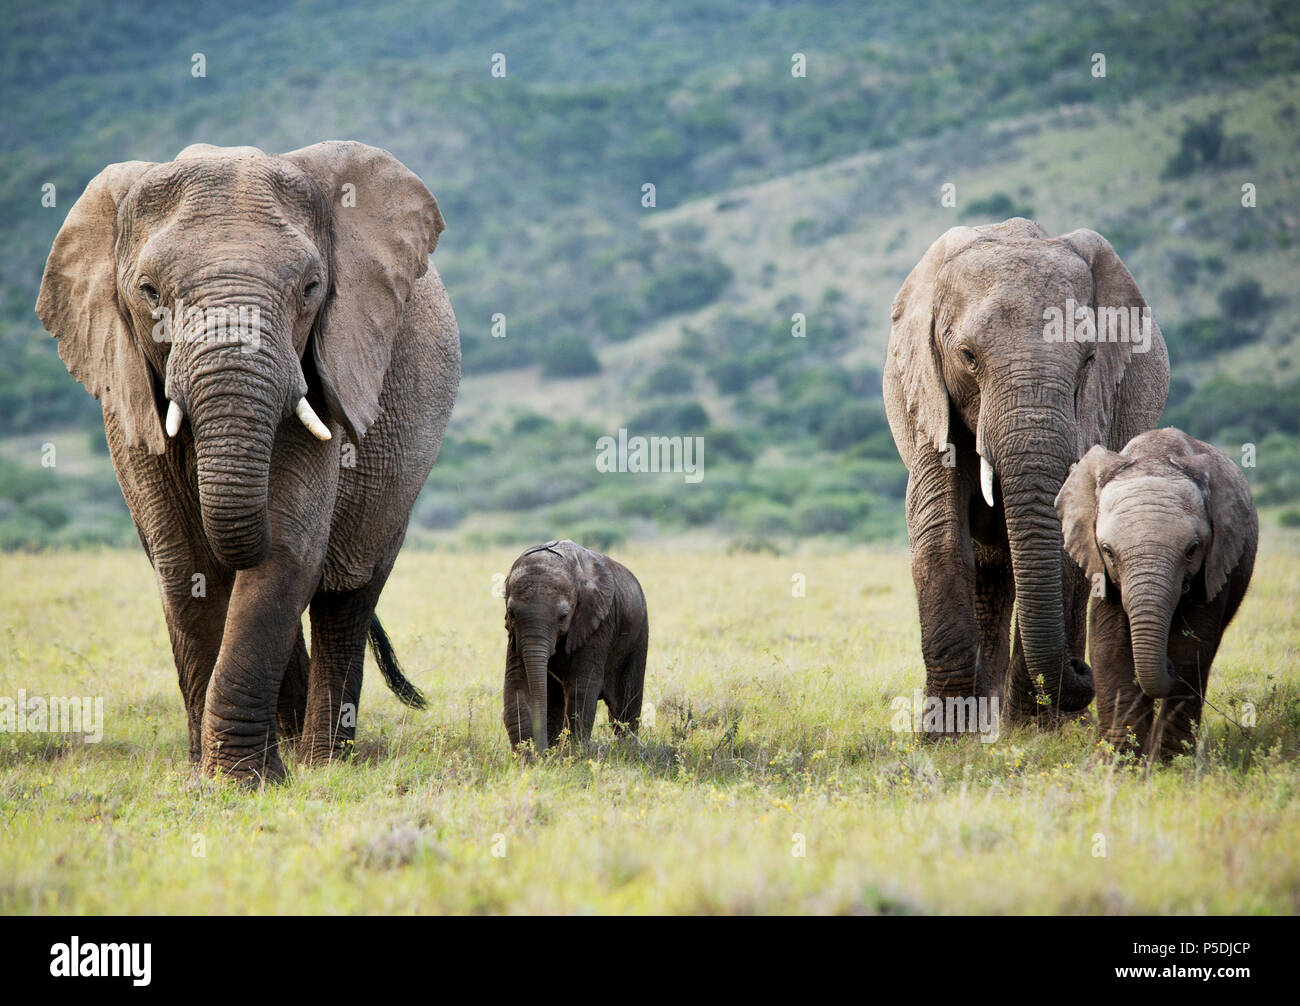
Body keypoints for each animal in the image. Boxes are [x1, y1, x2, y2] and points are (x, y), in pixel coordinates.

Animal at [35, 141, 460, 782]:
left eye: (311, 288)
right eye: (149, 292)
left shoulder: (327, 367)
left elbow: (286, 549)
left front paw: (242, 780)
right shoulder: (125, 390)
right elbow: (185, 563)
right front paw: (206, 777)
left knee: (346, 596)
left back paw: (321, 762)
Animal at [502, 540, 648, 755]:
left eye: (564, 616)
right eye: (511, 613)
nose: (543, 753)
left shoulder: (598, 622)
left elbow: (581, 684)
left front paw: (571, 756)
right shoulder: (514, 635)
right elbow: (517, 682)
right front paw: (530, 758)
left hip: (638, 634)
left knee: (625, 705)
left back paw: (629, 749)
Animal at [883, 218, 1169, 729]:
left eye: (1089, 359)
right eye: (967, 356)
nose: (1082, 670)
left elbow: (1071, 543)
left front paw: (1034, 732)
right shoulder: (928, 397)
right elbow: (940, 535)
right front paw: (944, 737)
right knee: (989, 570)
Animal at [1056, 427, 1257, 758]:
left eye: (1192, 550)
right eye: (1108, 551)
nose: (1166, 664)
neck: (1155, 458)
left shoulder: (1215, 565)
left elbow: (1192, 647)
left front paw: (1169, 762)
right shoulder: (1101, 571)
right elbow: (1110, 644)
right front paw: (1119, 760)